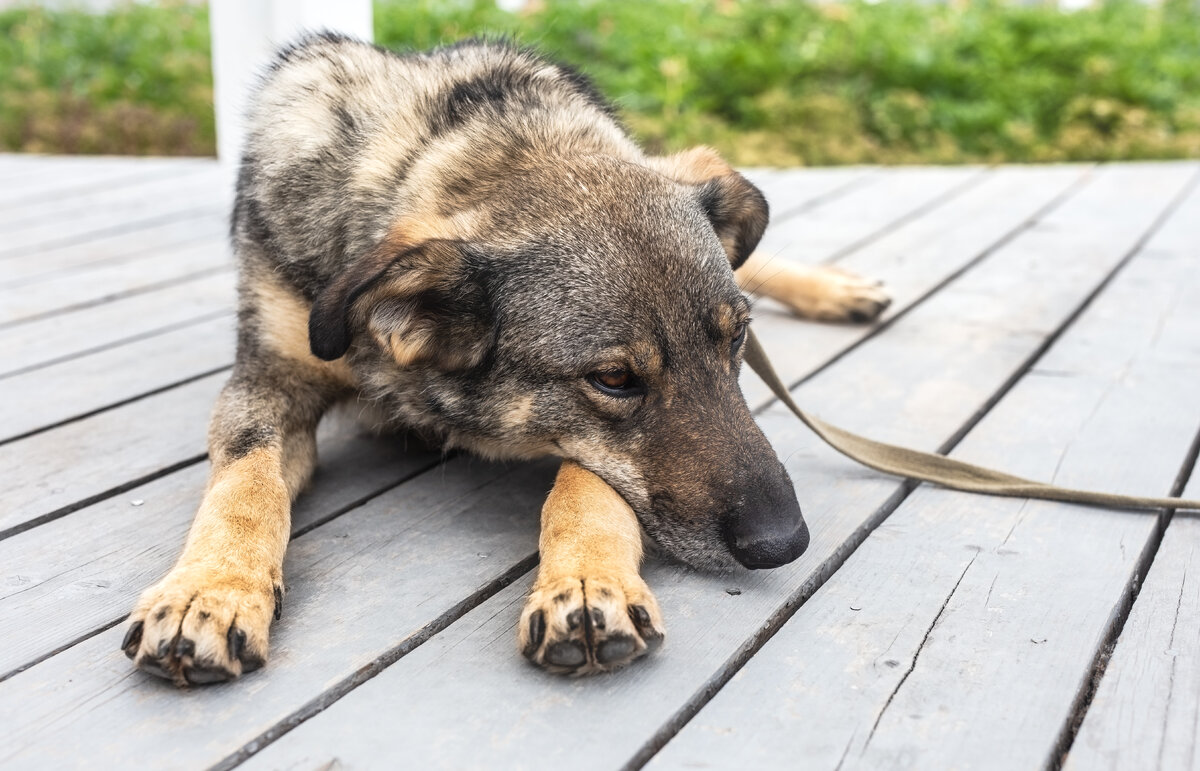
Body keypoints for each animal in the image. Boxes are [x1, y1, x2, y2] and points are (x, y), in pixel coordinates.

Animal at [121, 31, 892, 677]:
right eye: (615, 378)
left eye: (735, 341)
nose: (785, 542)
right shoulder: (270, 376)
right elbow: (244, 486)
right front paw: (209, 589)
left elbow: (587, 487)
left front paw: (586, 583)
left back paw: (837, 288)